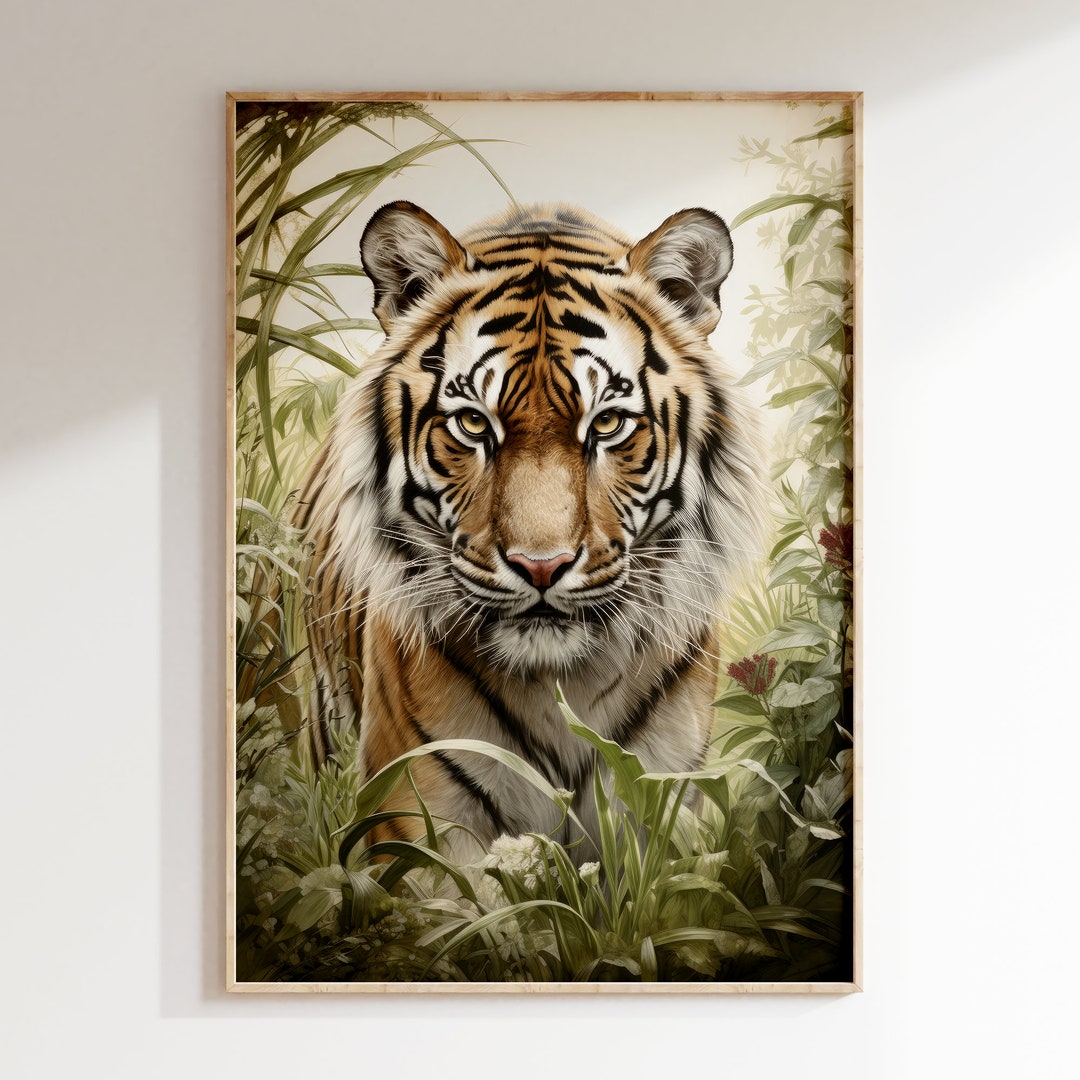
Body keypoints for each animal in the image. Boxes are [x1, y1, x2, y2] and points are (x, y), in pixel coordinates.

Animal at [296, 200, 765, 858]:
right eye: (472, 423)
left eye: (608, 423)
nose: (540, 567)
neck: (559, 684)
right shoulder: (420, 816)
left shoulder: (661, 805)